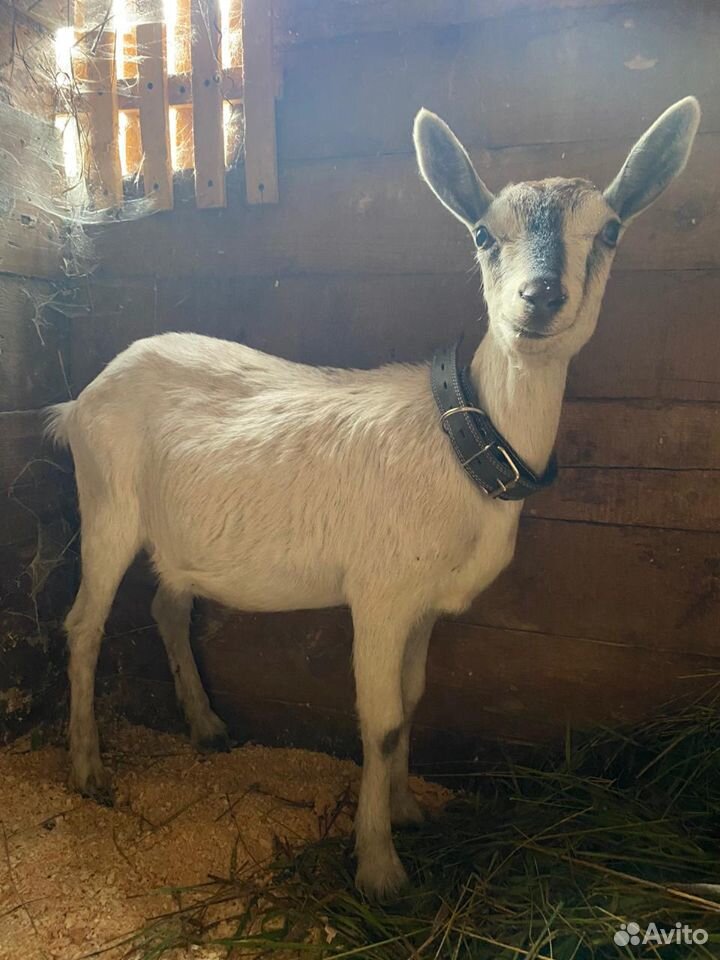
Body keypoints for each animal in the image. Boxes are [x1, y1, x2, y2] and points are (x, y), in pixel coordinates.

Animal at [48, 97, 700, 898]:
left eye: (609, 232)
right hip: (106, 502)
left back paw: (207, 727)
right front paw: (379, 867)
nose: (541, 297)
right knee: (84, 624)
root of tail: (83, 396)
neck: (460, 445)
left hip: (178, 535)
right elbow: (380, 717)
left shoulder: (424, 602)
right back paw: (88, 770)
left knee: (169, 606)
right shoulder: (382, 593)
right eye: (483, 234)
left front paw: (409, 810)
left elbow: (411, 705)